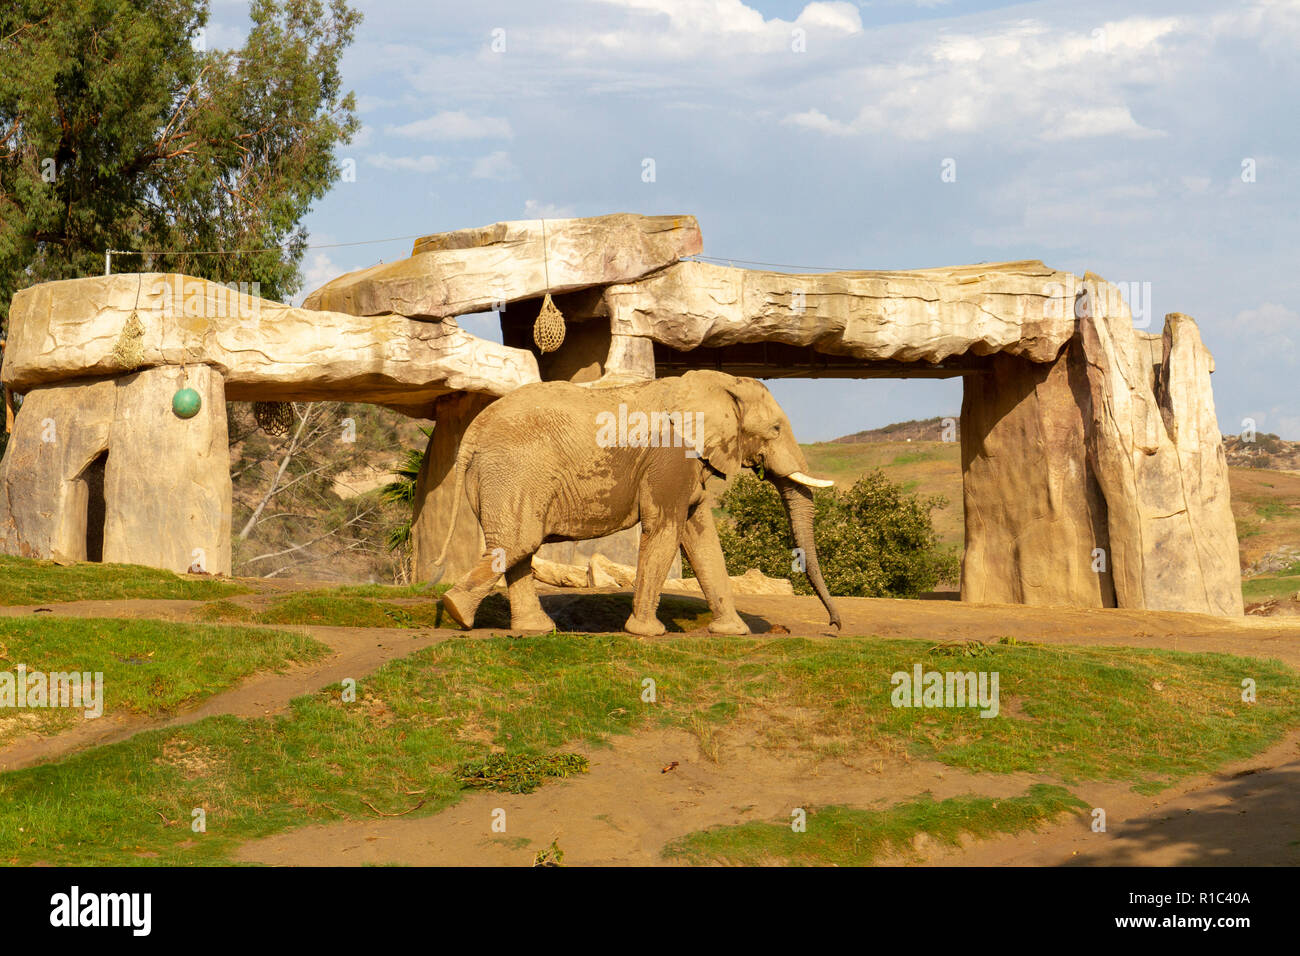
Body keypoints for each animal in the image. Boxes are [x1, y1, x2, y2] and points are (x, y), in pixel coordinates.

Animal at [432, 369, 842, 636]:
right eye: (775, 429)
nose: (834, 626)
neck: (715, 384)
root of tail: (472, 433)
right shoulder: (670, 456)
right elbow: (665, 530)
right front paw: (648, 633)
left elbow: (702, 538)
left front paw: (734, 633)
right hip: (513, 473)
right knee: (519, 542)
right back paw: (458, 614)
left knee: (518, 547)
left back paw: (532, 629)